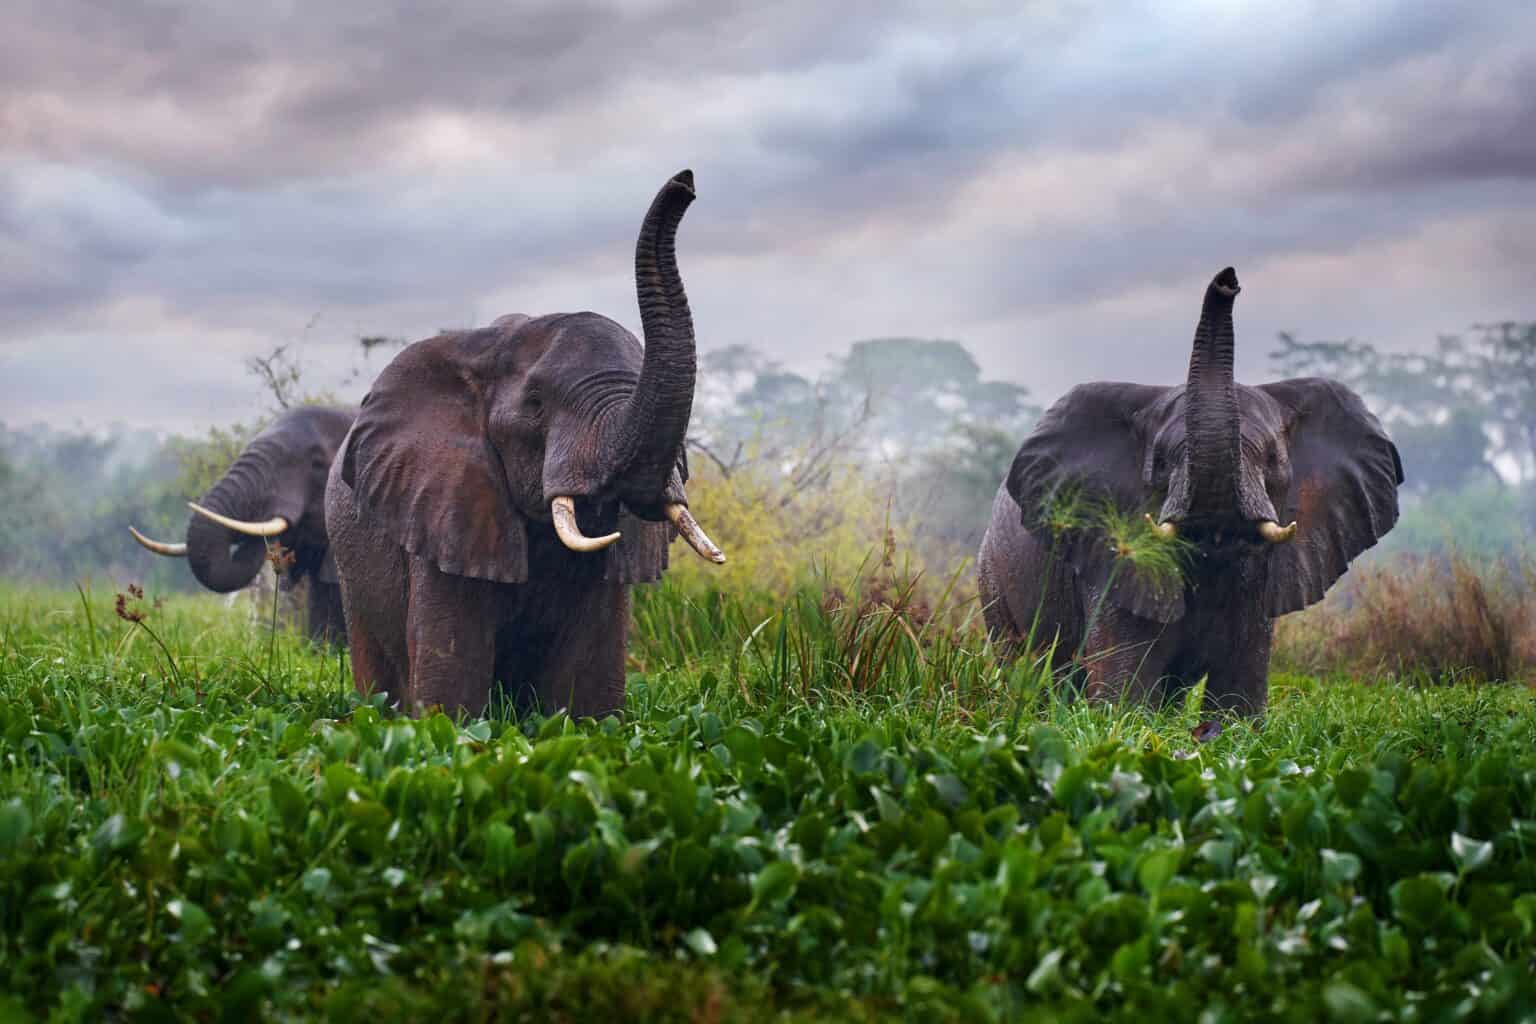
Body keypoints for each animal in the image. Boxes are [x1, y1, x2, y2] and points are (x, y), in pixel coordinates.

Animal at [977, 268, 1403, 716]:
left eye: (1271, 459)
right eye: (1163, 461)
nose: (1228, 280)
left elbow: (1238, 697)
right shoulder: (1115, 558)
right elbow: (1124, 694)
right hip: (993, 585)